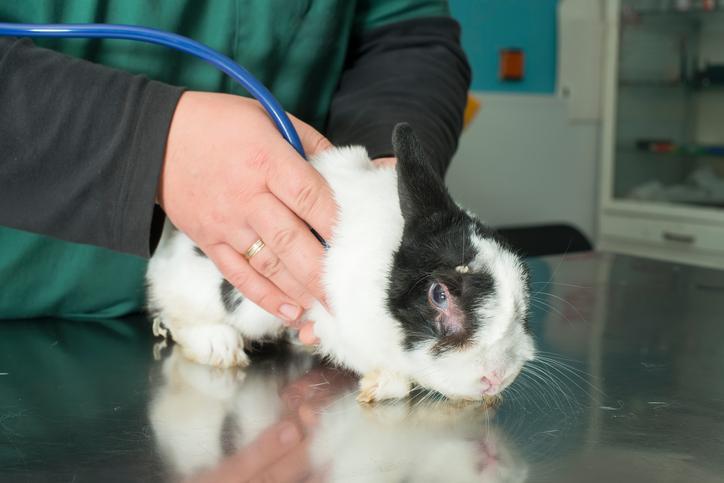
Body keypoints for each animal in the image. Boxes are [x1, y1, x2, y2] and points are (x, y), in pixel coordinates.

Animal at [146, 123, 534, 403]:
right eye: (439, 295)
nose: (497, 379)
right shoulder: (340, 326)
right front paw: (380, 386)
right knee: (175, 313)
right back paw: (219, 347)